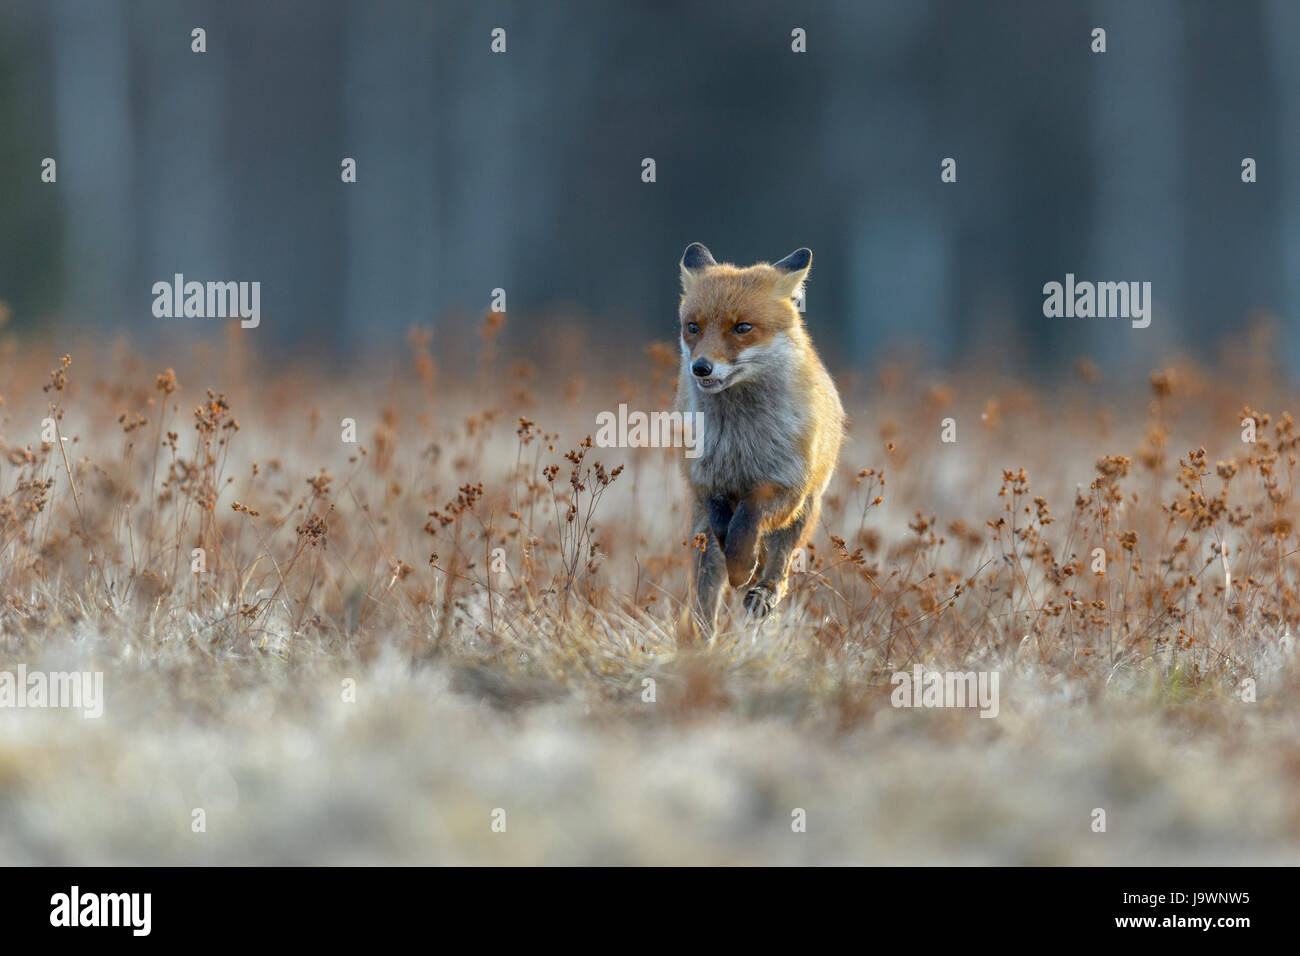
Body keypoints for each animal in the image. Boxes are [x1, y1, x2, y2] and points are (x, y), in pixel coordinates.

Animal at [675, 242, 845, 637]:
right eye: (693, 327)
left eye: (742, 328)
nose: (700, 367)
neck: (741, 440)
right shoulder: (708, 482)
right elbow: (727, 527)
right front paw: (742, 568)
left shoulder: (786, 485)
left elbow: (747, 522)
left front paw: (744, 569)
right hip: (700, 537)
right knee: (706, 598)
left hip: (805, 511)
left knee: (780, 565)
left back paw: (764, 593)